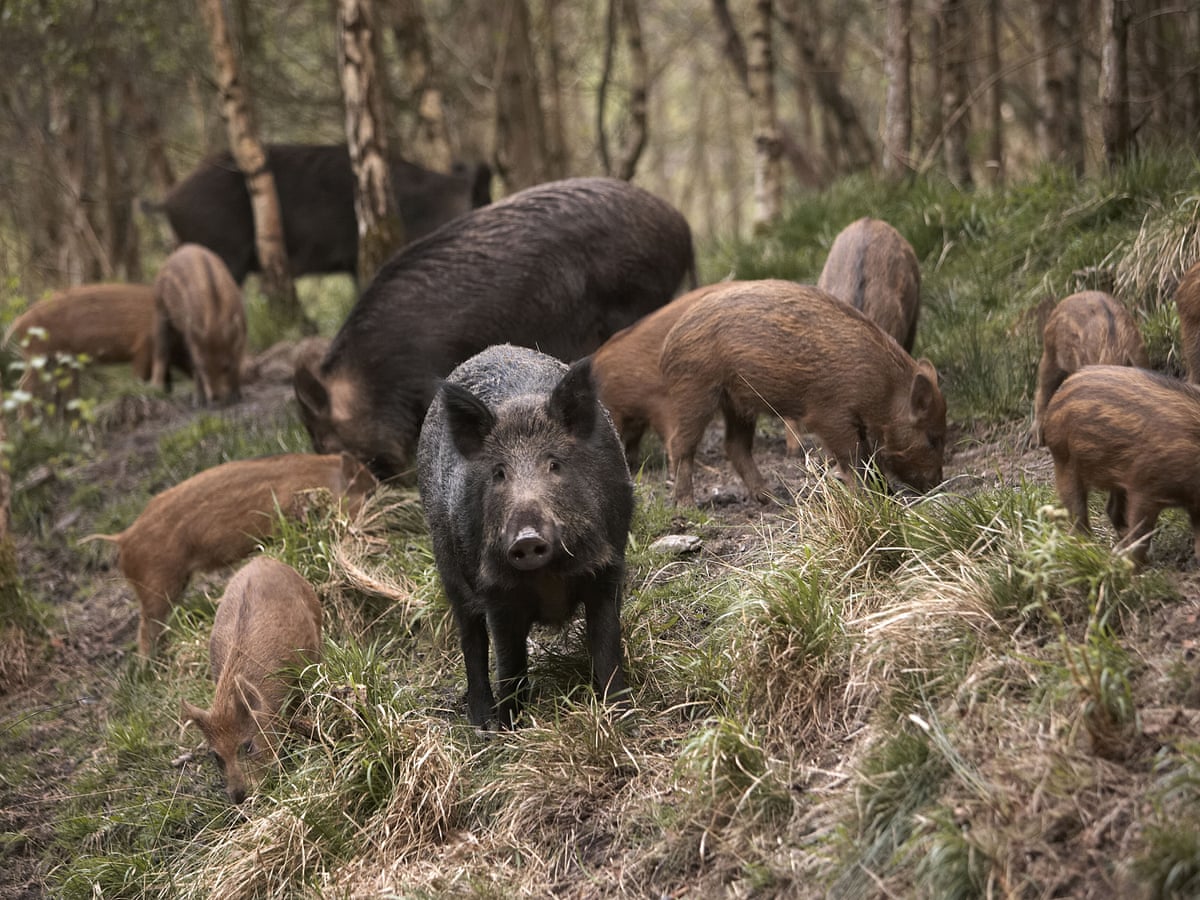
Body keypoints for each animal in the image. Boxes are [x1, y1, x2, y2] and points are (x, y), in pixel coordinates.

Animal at [4, 283, 190, 406]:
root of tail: (19, 321)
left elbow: (166, 381)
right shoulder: (142, 347)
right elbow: (139, 378)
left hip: (58, 361)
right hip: (38, 356)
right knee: (25, 385)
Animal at [151, 243, 246, 406]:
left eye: (225, 367)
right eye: (203, 367)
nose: (215, 397)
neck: (214, 321)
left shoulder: (241, 330)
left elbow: (238, 360)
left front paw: (236, 395)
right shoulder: (191, 336)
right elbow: (194, 363)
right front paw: (199, 401)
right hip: (160, 311)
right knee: (161, 349)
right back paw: (155, 388)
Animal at [417, 344, 634, 729]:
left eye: (555, 464)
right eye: (499, 473)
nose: (526, 538)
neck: (549, 579)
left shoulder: (608, 569)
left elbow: (607, 645)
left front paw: (621, 717)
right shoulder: (496, 593)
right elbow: (510, 666)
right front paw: (506, 729)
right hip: (448, 567)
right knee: (471, 640)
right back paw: (480, 723)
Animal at [659, 280, 947, 506]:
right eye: (932, 438)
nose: (937, 485)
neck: (884, 390)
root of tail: (669, 342)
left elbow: (870, 459)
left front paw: (886, 495)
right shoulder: (829, 415)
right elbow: (853, 457)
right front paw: (866, 498)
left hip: (737, 404)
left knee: (734, 445)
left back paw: (770, 498)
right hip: (695, 392)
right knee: (680, 444)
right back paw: (686, 505)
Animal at [1042, 364, 1200, 567]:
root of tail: (1062, 388)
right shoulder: (1144, 489)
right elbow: (1141, 533)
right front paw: (1134, 567)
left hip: (1117, 477)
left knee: (1112, 510)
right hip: (1065, 462)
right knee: (1077, 514)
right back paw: (1090, 550)